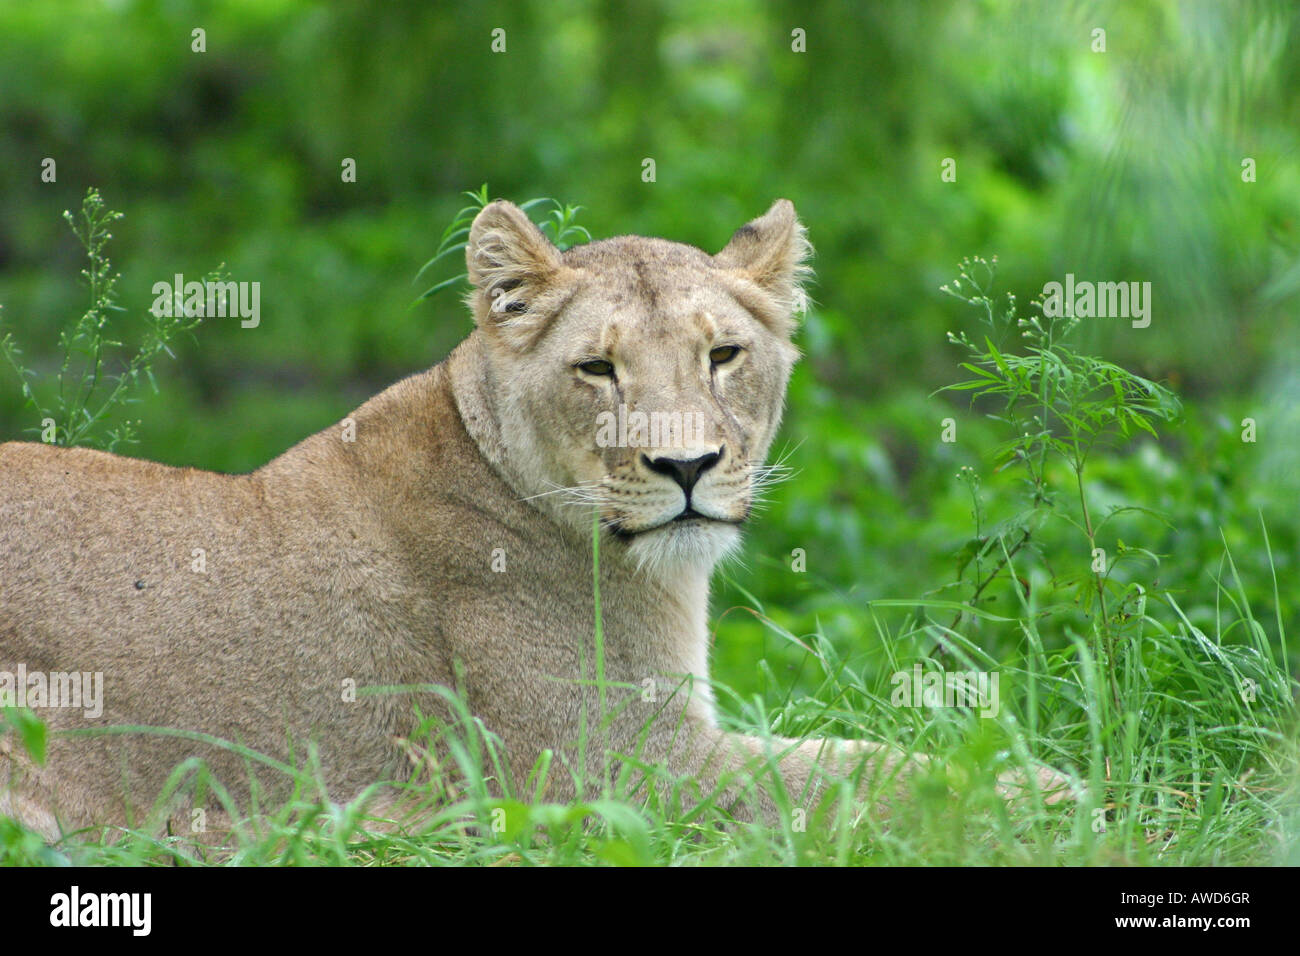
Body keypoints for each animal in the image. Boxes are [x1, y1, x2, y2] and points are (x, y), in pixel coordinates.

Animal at [0, 199, 1066, 843]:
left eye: (722, 355)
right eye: (597, 369)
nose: (688, 466)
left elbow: (859, 760)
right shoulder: (628, 771)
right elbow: (863, 779)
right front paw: (1042, 791)